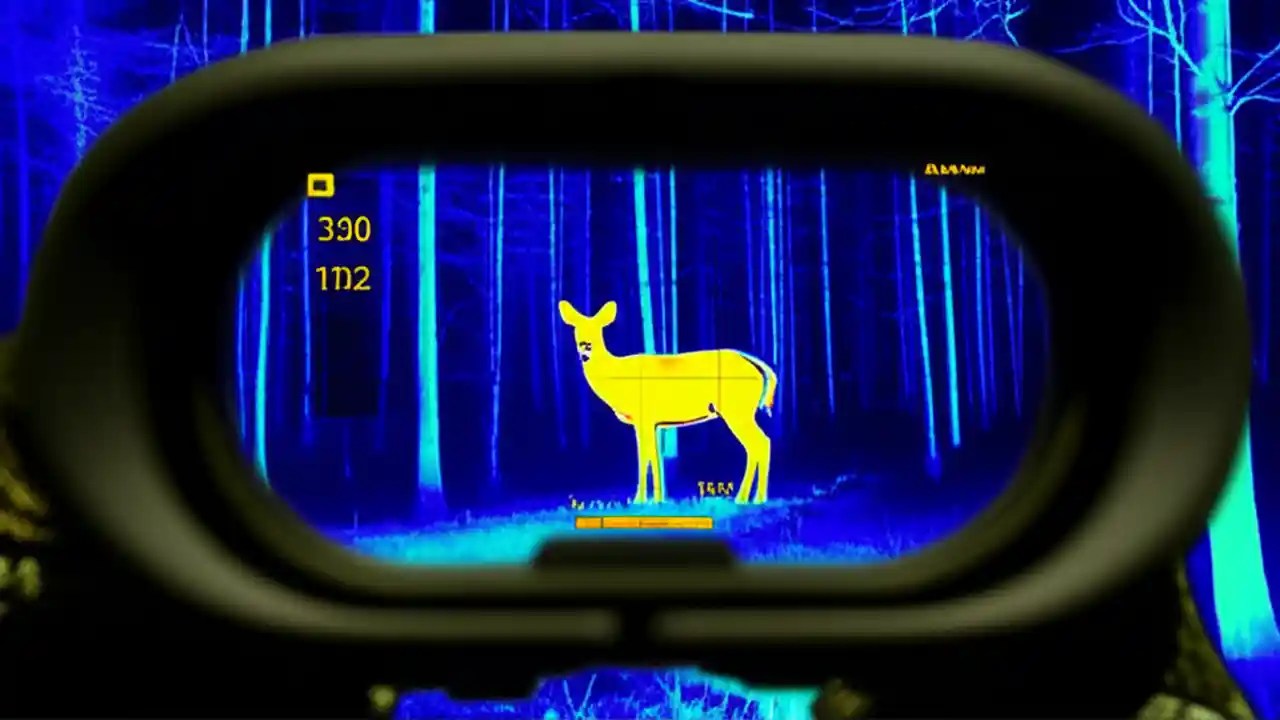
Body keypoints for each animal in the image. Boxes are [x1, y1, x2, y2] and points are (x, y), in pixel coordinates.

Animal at [557, 299, 777, 505]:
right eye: (576, 327)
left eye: (597, 328)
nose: (585, 348)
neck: (618, 377)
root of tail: (757, 365)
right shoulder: (652, 422)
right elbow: (654, 456)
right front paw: (657, 500)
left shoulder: (644, 416)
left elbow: (644, 456)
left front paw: (640, 500)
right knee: (759, 444)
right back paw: (752, 498)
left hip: (737, 410)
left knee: (760, 443)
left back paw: (751, 499)